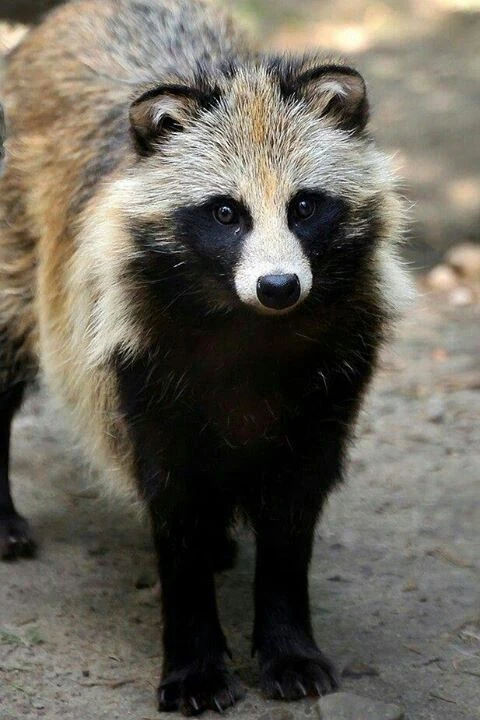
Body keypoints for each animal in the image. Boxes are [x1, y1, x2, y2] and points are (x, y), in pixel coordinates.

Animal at [0, 0, 412, 714]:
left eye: (305, 206)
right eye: (226, 213)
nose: (279, 286)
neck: (250, 328)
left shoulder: (335, 369)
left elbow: (293, 509)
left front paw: (288, 642)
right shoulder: (138, 357)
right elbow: (174, 502)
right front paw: (194, 658)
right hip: (12, 227)